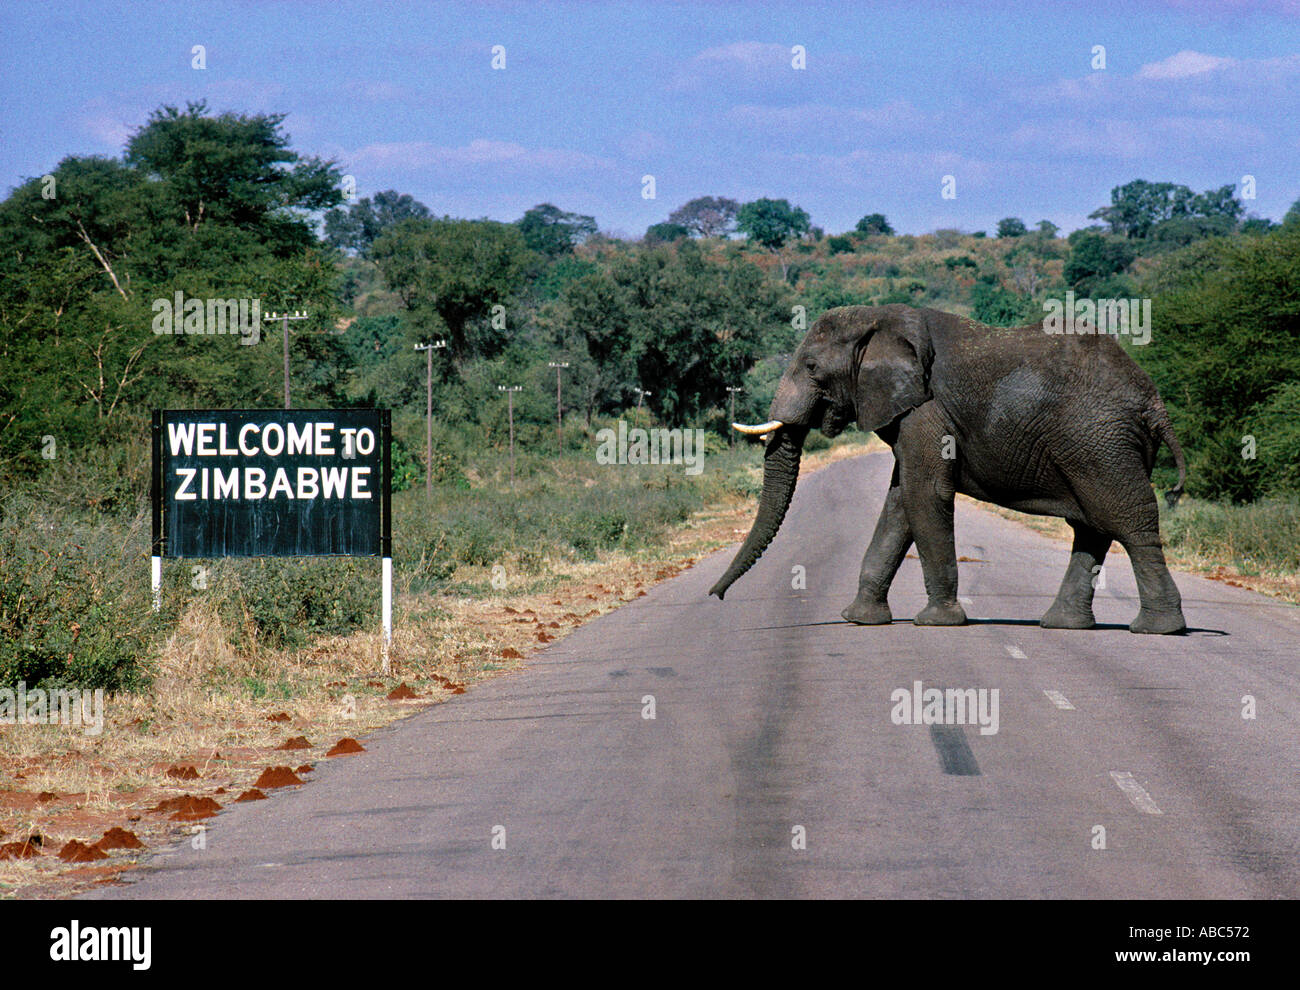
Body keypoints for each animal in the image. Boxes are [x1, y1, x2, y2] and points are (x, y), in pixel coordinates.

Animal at [709, 304, 1188, 635]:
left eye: (812, 368)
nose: (716, 595)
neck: (879, 318)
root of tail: (1154, 401)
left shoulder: (927, 410)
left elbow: (924, 495)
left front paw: (936, 622)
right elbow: (900, 503)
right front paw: (859, 619)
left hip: (1100, 442)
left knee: (1129, 523)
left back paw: (1158, 629)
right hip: (1097, 447)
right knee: (1092, 528)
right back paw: (1062, 625)